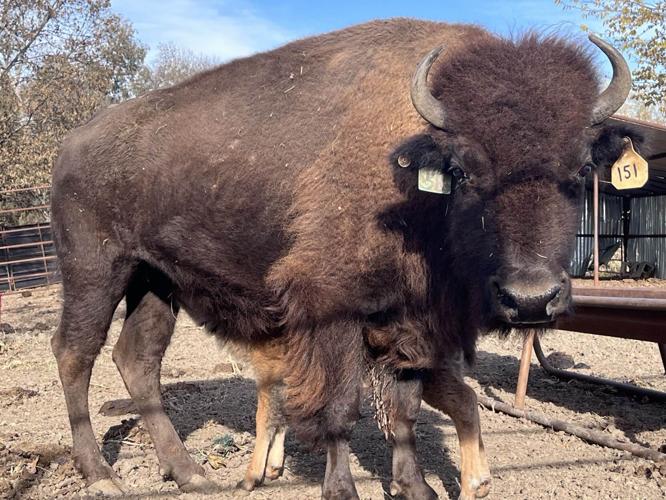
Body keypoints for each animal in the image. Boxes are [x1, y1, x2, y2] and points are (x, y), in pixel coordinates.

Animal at [50, 18, 638, 499]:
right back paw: (101, 475)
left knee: (138, 359)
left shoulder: (409, 322)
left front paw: (415, 487)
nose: (532, 297)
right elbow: (341, 407)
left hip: (155, 280)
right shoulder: (330, 311)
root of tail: (70, 144)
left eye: (582, 167)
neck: (411, 174)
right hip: (95, 270)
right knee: (75, 354)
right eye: (465, 171)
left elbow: (403, 409)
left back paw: (190, 473)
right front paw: (342, 489)